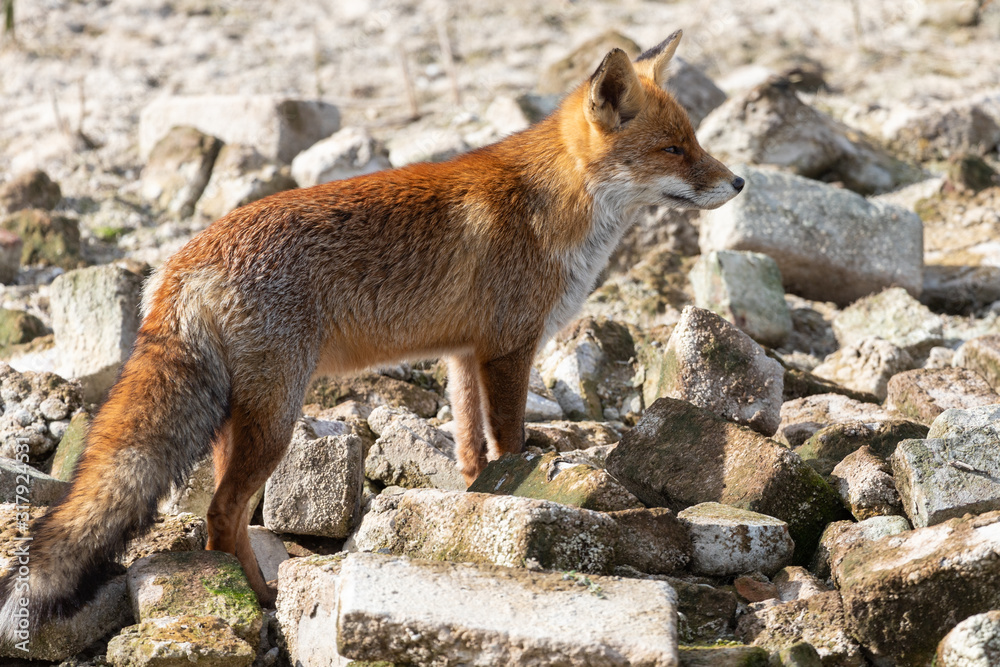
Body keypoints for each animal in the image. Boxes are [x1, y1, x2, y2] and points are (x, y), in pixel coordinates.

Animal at [0, 29, 742, 640]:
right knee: (221, 513)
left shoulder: (465, 354)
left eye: (696, 142)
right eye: (674, 150)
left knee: (221, 515)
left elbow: (473, 452)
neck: (552, 207)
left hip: (241, 420)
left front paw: (480, 505)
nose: (737, 181)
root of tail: (185, 258)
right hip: (277, 419)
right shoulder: (509, 348)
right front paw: (525, 495)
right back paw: (261, 599)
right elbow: (511, 438)